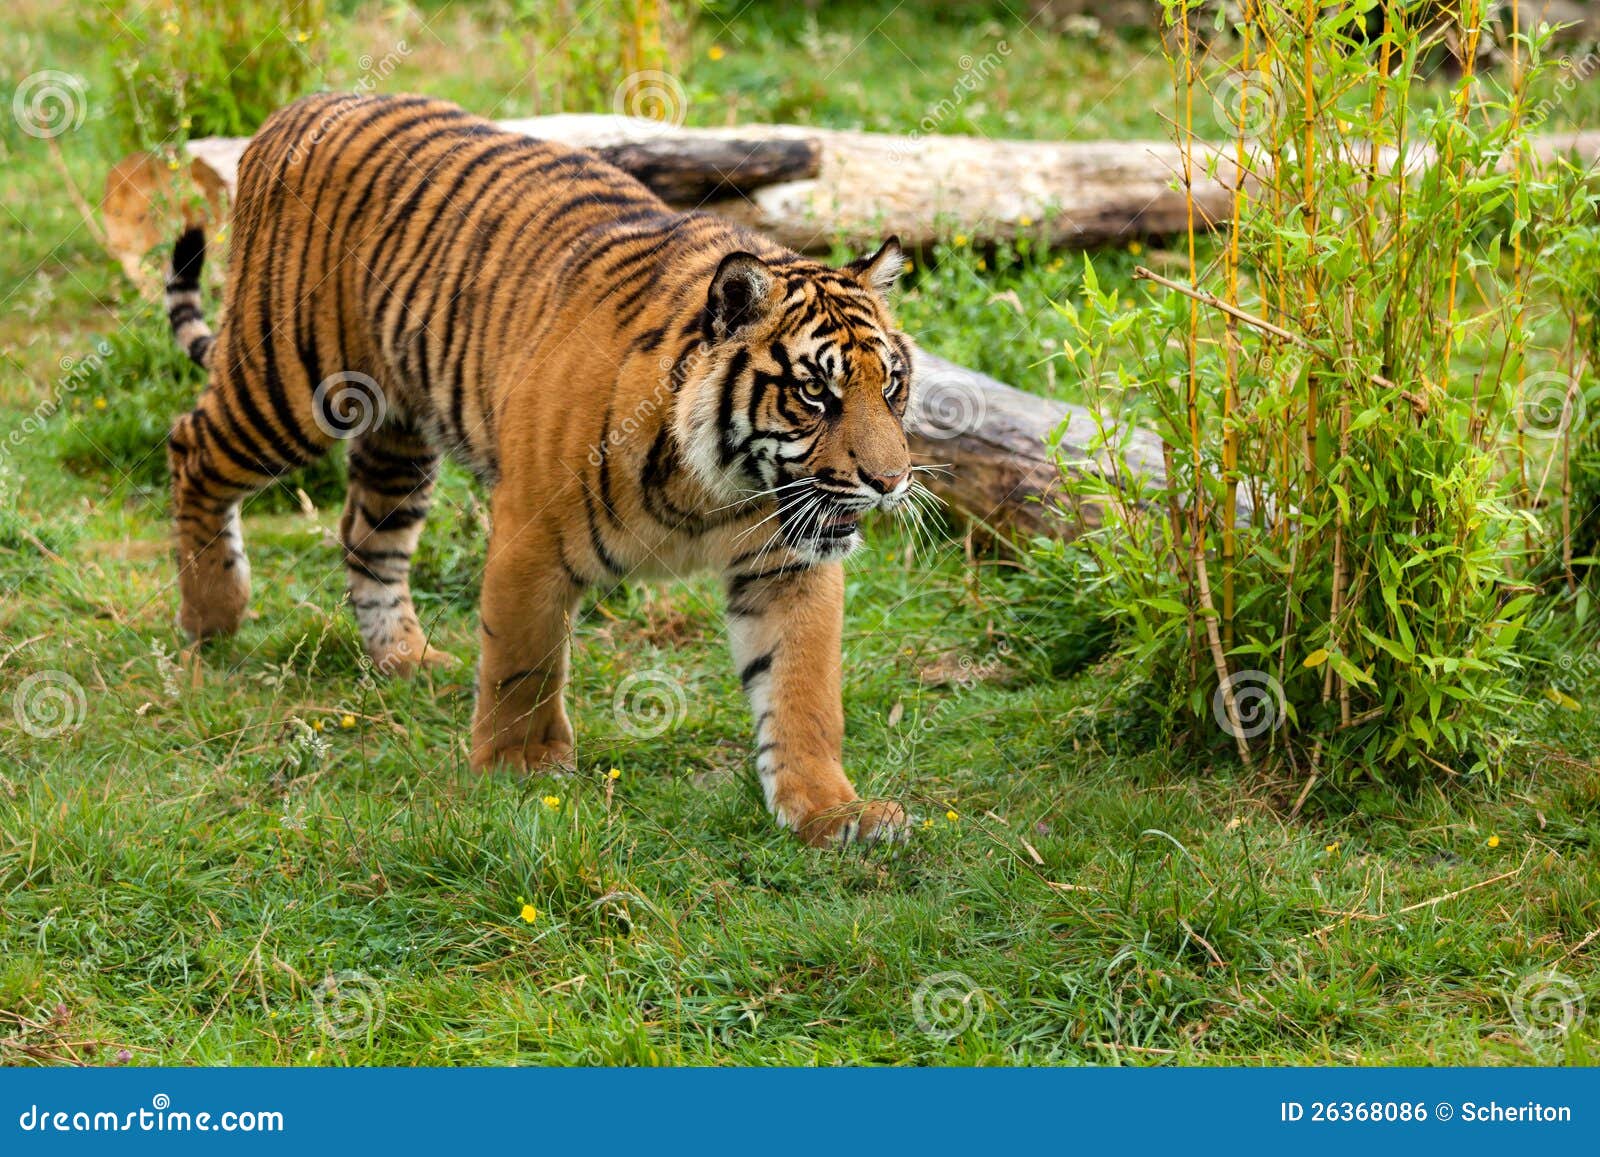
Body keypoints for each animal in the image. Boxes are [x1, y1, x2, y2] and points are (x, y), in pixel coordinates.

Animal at [164, 92, 921, 846]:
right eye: (814, 392)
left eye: (891, 384)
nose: (889, 482)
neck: (716, 488)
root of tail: (304, 104)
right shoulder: (530, 530)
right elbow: (523, 659)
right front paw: (520, 768)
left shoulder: (789, 565)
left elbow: (803, 691)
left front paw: (833, 811)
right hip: (287, 385)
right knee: (191, 448)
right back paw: (214, 613)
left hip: (398, 432)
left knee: (366, 535)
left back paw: (405, 658)